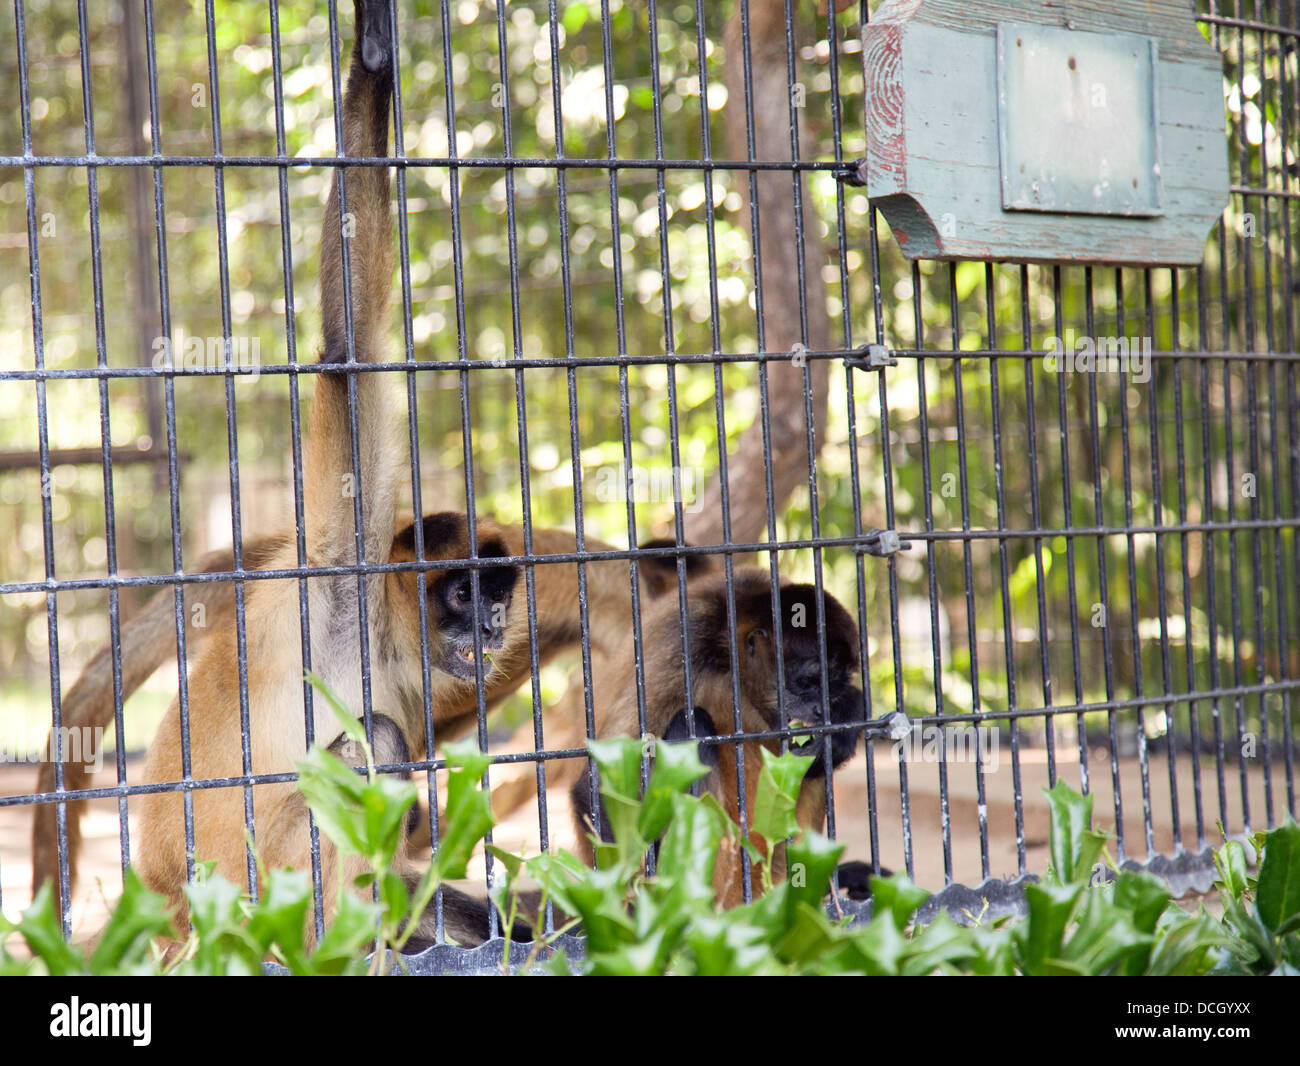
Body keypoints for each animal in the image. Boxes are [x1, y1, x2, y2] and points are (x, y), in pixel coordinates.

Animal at [570, 567, 876, 907]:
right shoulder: (686, 635)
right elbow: (599, 784)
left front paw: (842, 726)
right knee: (692, 724)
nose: (821, 709)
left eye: (835, 684)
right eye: (807, 682)